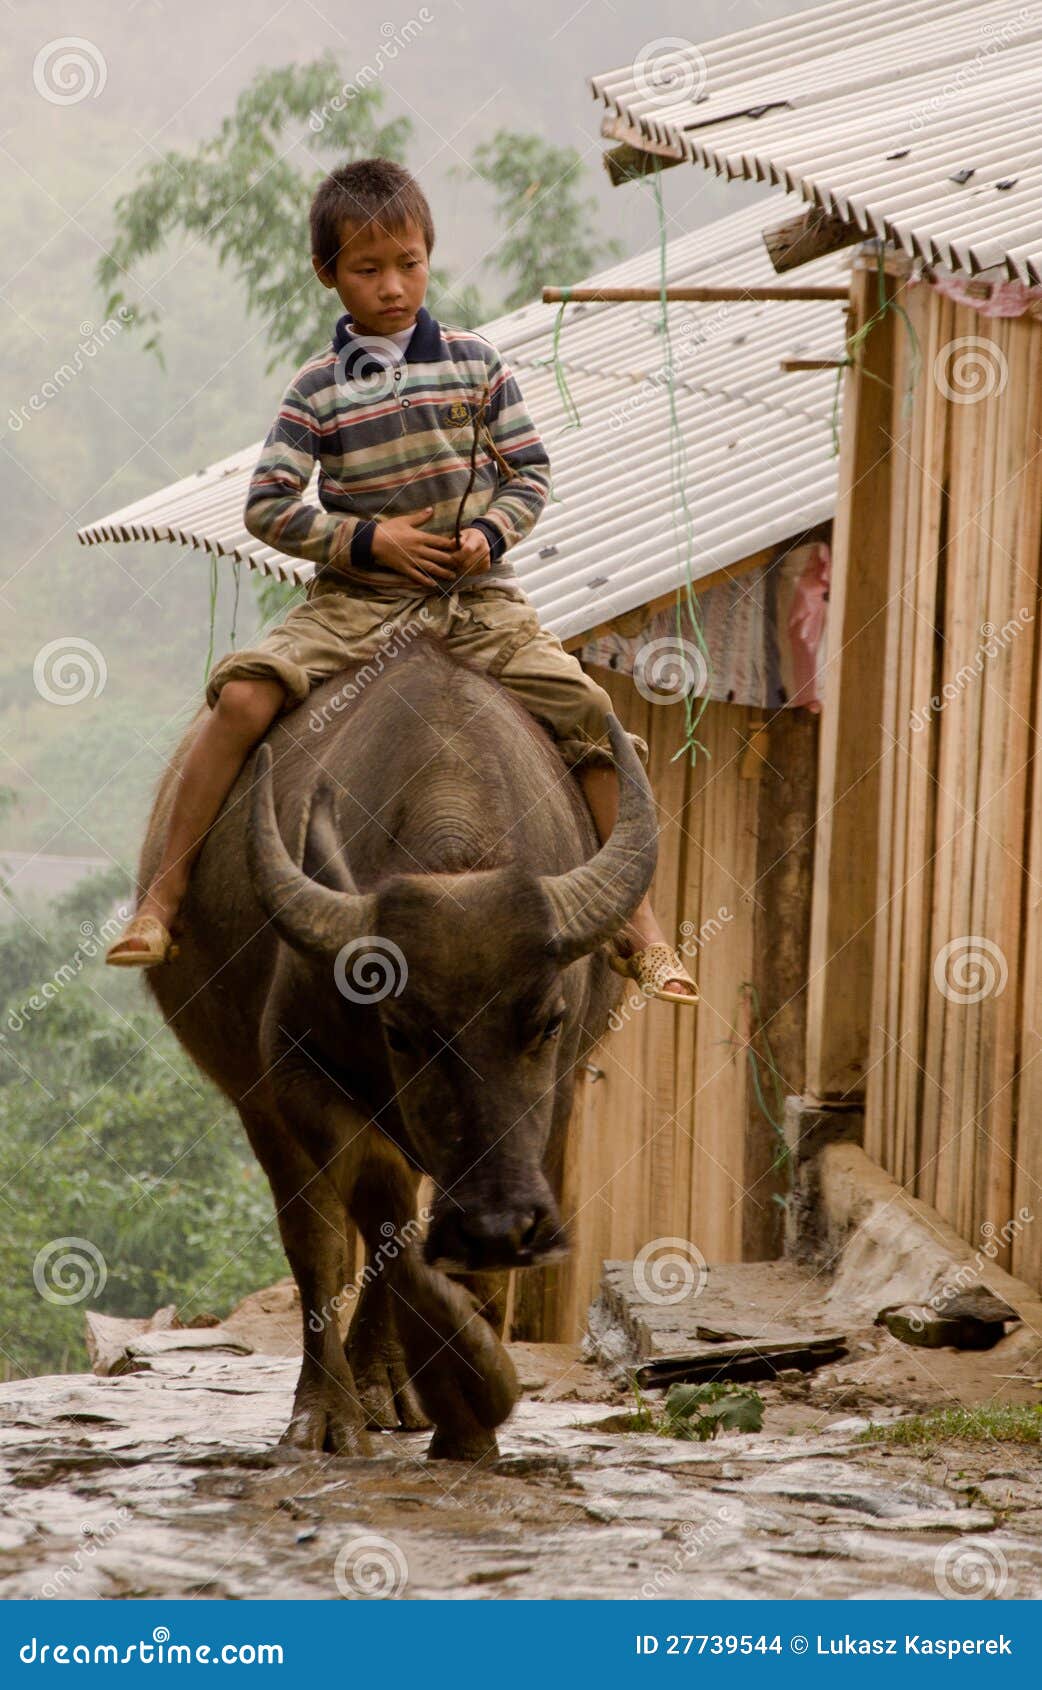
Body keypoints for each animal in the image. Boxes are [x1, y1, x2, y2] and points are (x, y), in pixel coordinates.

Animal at [143, 635, 657, 1460]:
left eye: (547, 1022)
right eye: (399, 1031)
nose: (495, 1223)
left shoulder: (557, 1098)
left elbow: (461, 1260)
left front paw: (470, 1414)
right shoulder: (298, 1075)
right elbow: (373, 1227)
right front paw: (452, 1393)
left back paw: (386, 1380)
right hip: (257, 1101)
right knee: (317, 1233)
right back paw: (343, 1398)